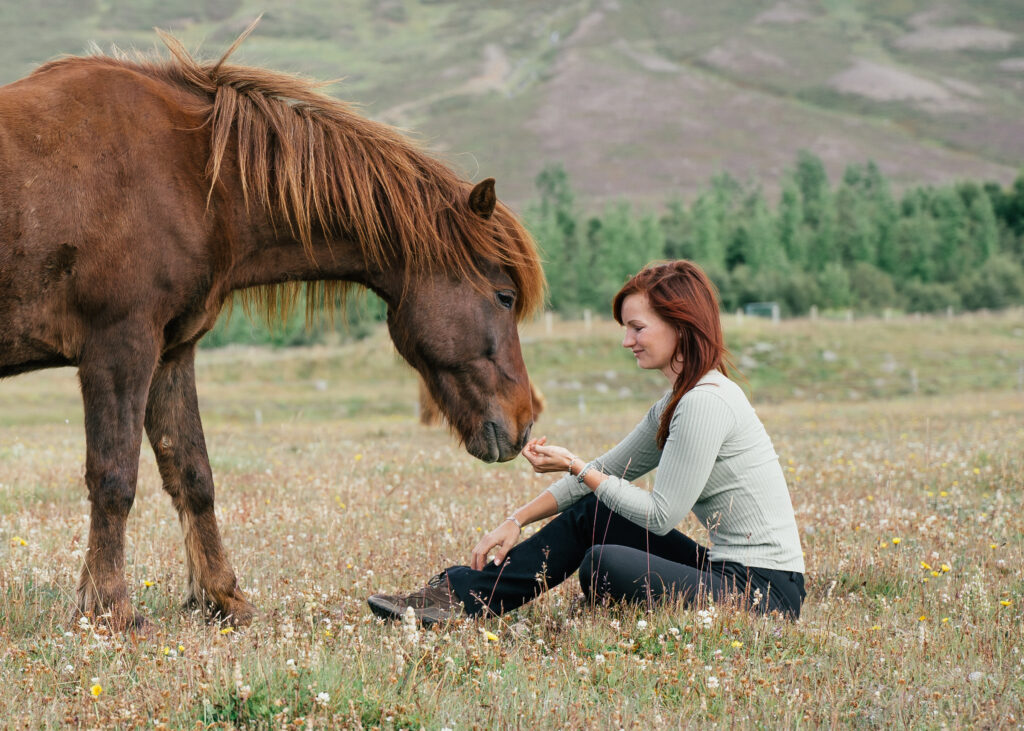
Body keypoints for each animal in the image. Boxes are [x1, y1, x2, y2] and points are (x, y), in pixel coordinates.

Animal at [0, 26, 544, 631]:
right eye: (504, 296)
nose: (523, 422)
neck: (189, 173)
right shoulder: (120, 348)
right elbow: (114, 478)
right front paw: (111, 609)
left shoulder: (171, 353)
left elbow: (192, 476)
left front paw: (221, 598)